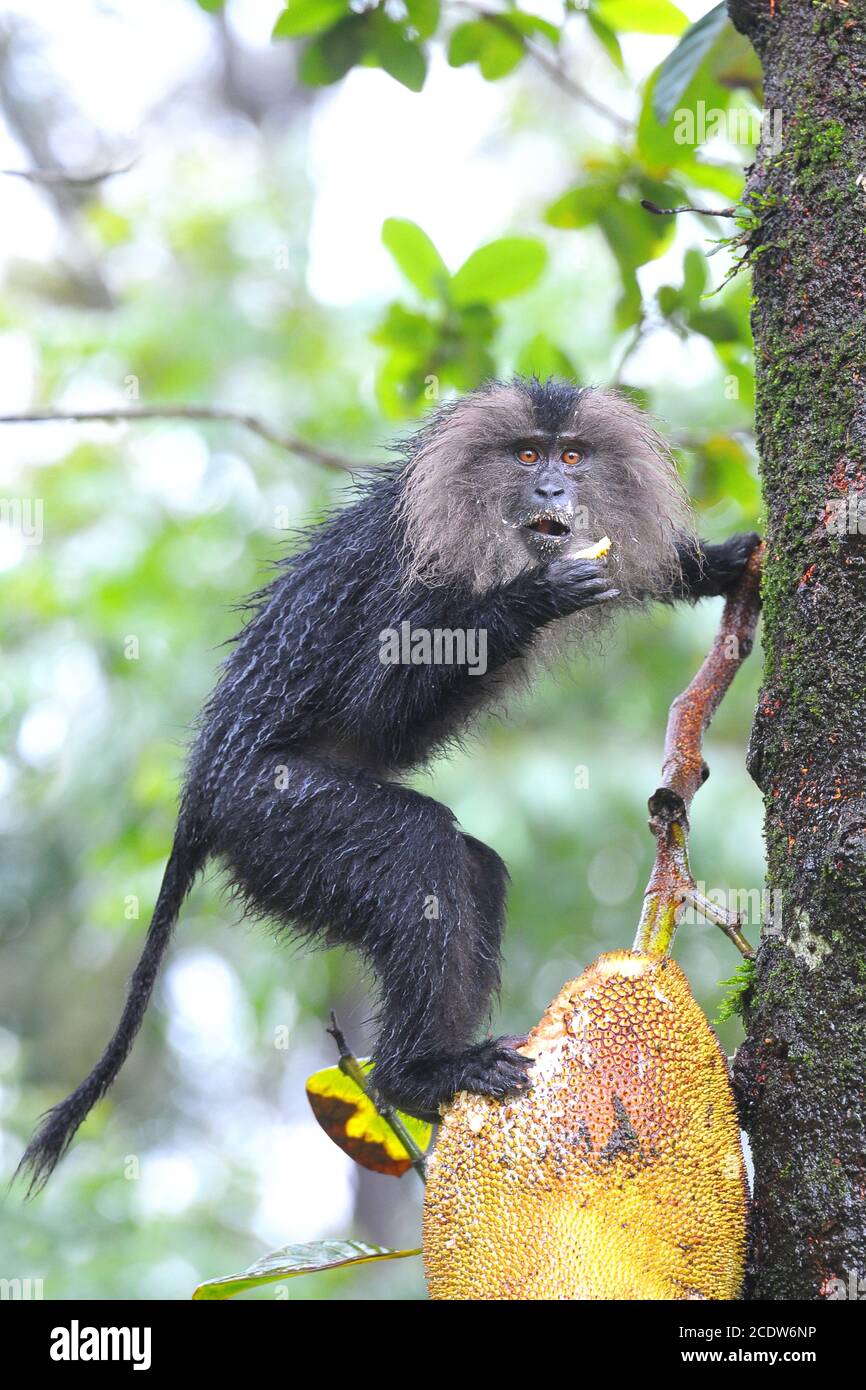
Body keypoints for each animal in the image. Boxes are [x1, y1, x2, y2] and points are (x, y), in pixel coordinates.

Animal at [18, 378, 760, 1191]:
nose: (552, 490)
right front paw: (535, 597)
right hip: (271, 811)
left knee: (475, 868)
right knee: (416, 845)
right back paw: (415, 1077)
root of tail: (204, 784)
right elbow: (381, 706)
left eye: (571, 456)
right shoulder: (414, 578)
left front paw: (722, 561)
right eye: (526, 456)